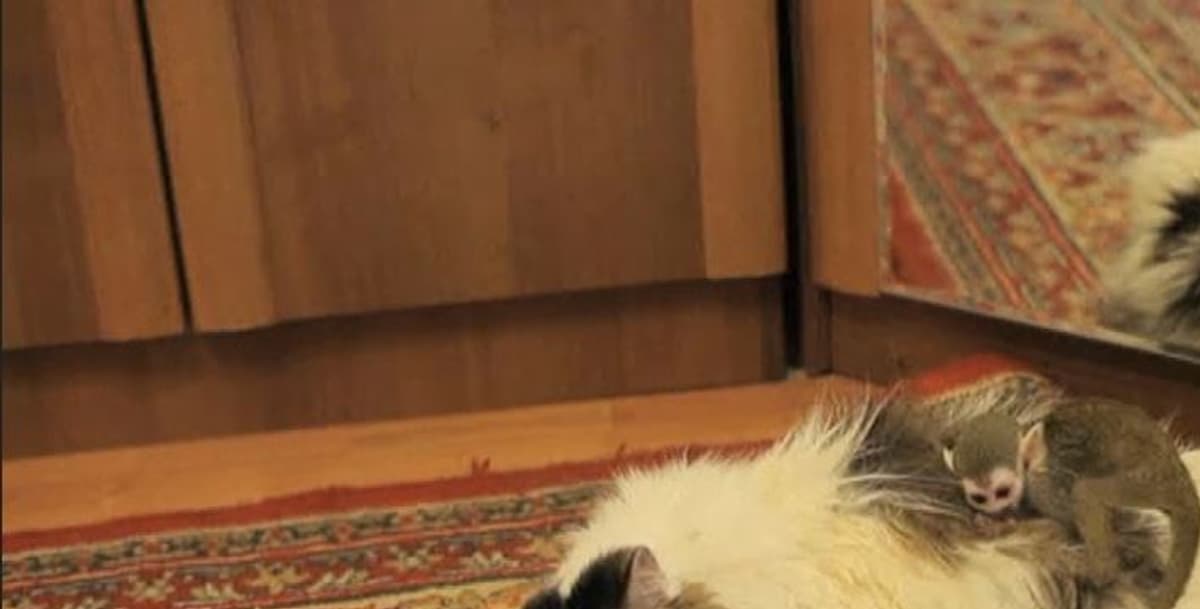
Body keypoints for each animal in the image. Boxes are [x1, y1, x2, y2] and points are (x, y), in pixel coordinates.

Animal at [941, 399, 1200, 609]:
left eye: (1002, 492)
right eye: (980, 498)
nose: (999, 510)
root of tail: (1177, 473)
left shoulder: (1043, 487)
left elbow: (1061, 524)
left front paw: (1001, 526)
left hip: (1145, 485)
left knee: (1086, 492)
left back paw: (1094, 569)